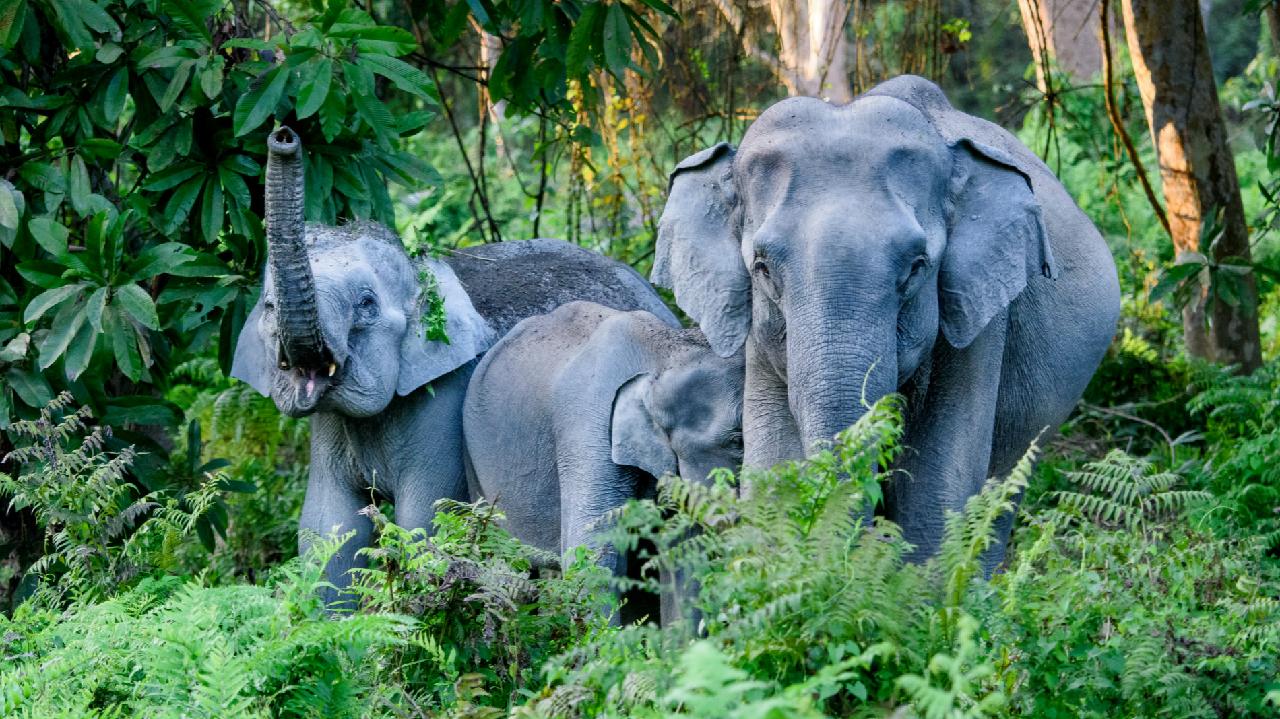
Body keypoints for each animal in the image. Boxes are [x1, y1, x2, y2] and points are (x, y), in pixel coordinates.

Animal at [231, 127, 678, 604]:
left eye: (367, 304)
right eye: (268, 306)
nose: (283, 136)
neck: (421, 268)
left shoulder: (447, 397)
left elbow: (422, 520)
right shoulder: (330, 428)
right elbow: (328, 528)